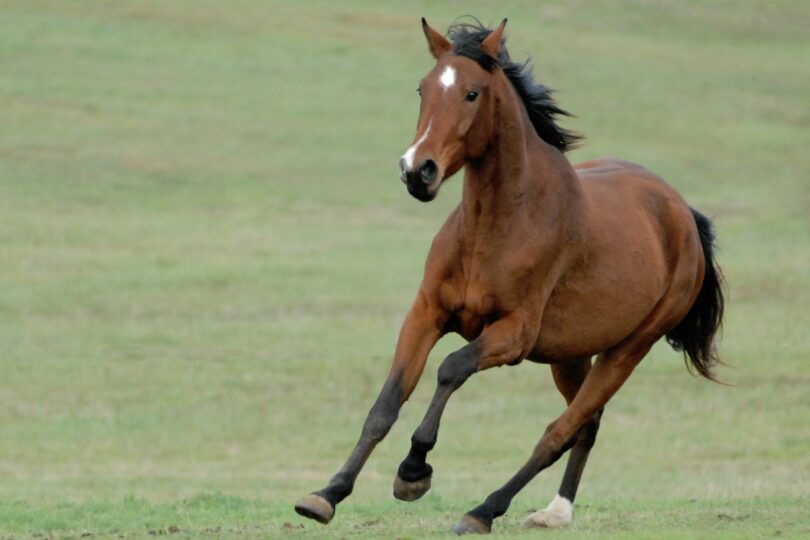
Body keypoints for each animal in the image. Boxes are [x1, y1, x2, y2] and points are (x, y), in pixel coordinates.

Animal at [295, 18, 724, 535]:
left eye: (472, 93)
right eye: (422, 88)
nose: (417, 171)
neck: (495, 227)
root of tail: (683, 213)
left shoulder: (514, 334)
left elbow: (451, 368)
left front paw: (414, 471)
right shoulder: (426, 314)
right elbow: (385, 405)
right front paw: (326, 495)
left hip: (628, 350)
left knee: (560, 431)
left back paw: (484, 510)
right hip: (571, 355)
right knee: (587, 423)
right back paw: (555, 511)